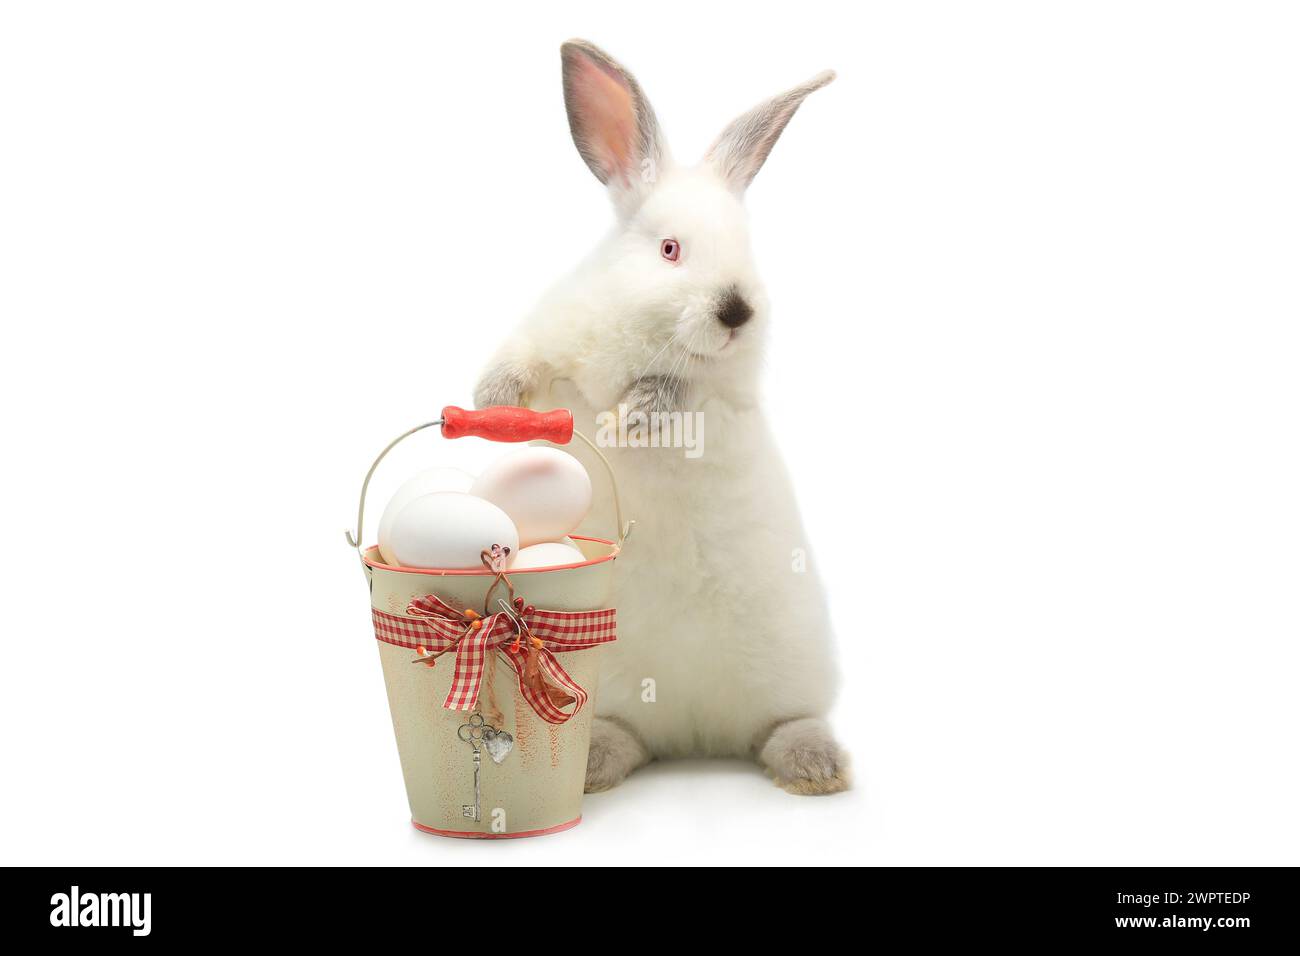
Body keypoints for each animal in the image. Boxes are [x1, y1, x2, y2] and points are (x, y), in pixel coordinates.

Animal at [473, 39, 847, 795]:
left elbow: (675, 397)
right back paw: (595, 761)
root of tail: (695, 734)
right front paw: (489, 399)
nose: (736, 310)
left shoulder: (716, 398)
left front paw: (630, 419)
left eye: (747, 250)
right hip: (606, 681)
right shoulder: (548, 341)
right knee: (626, 733)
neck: (647, 336)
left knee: (784, 721)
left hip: (792, 668)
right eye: (670, 249)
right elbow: (523, 366)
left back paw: (814, 763)